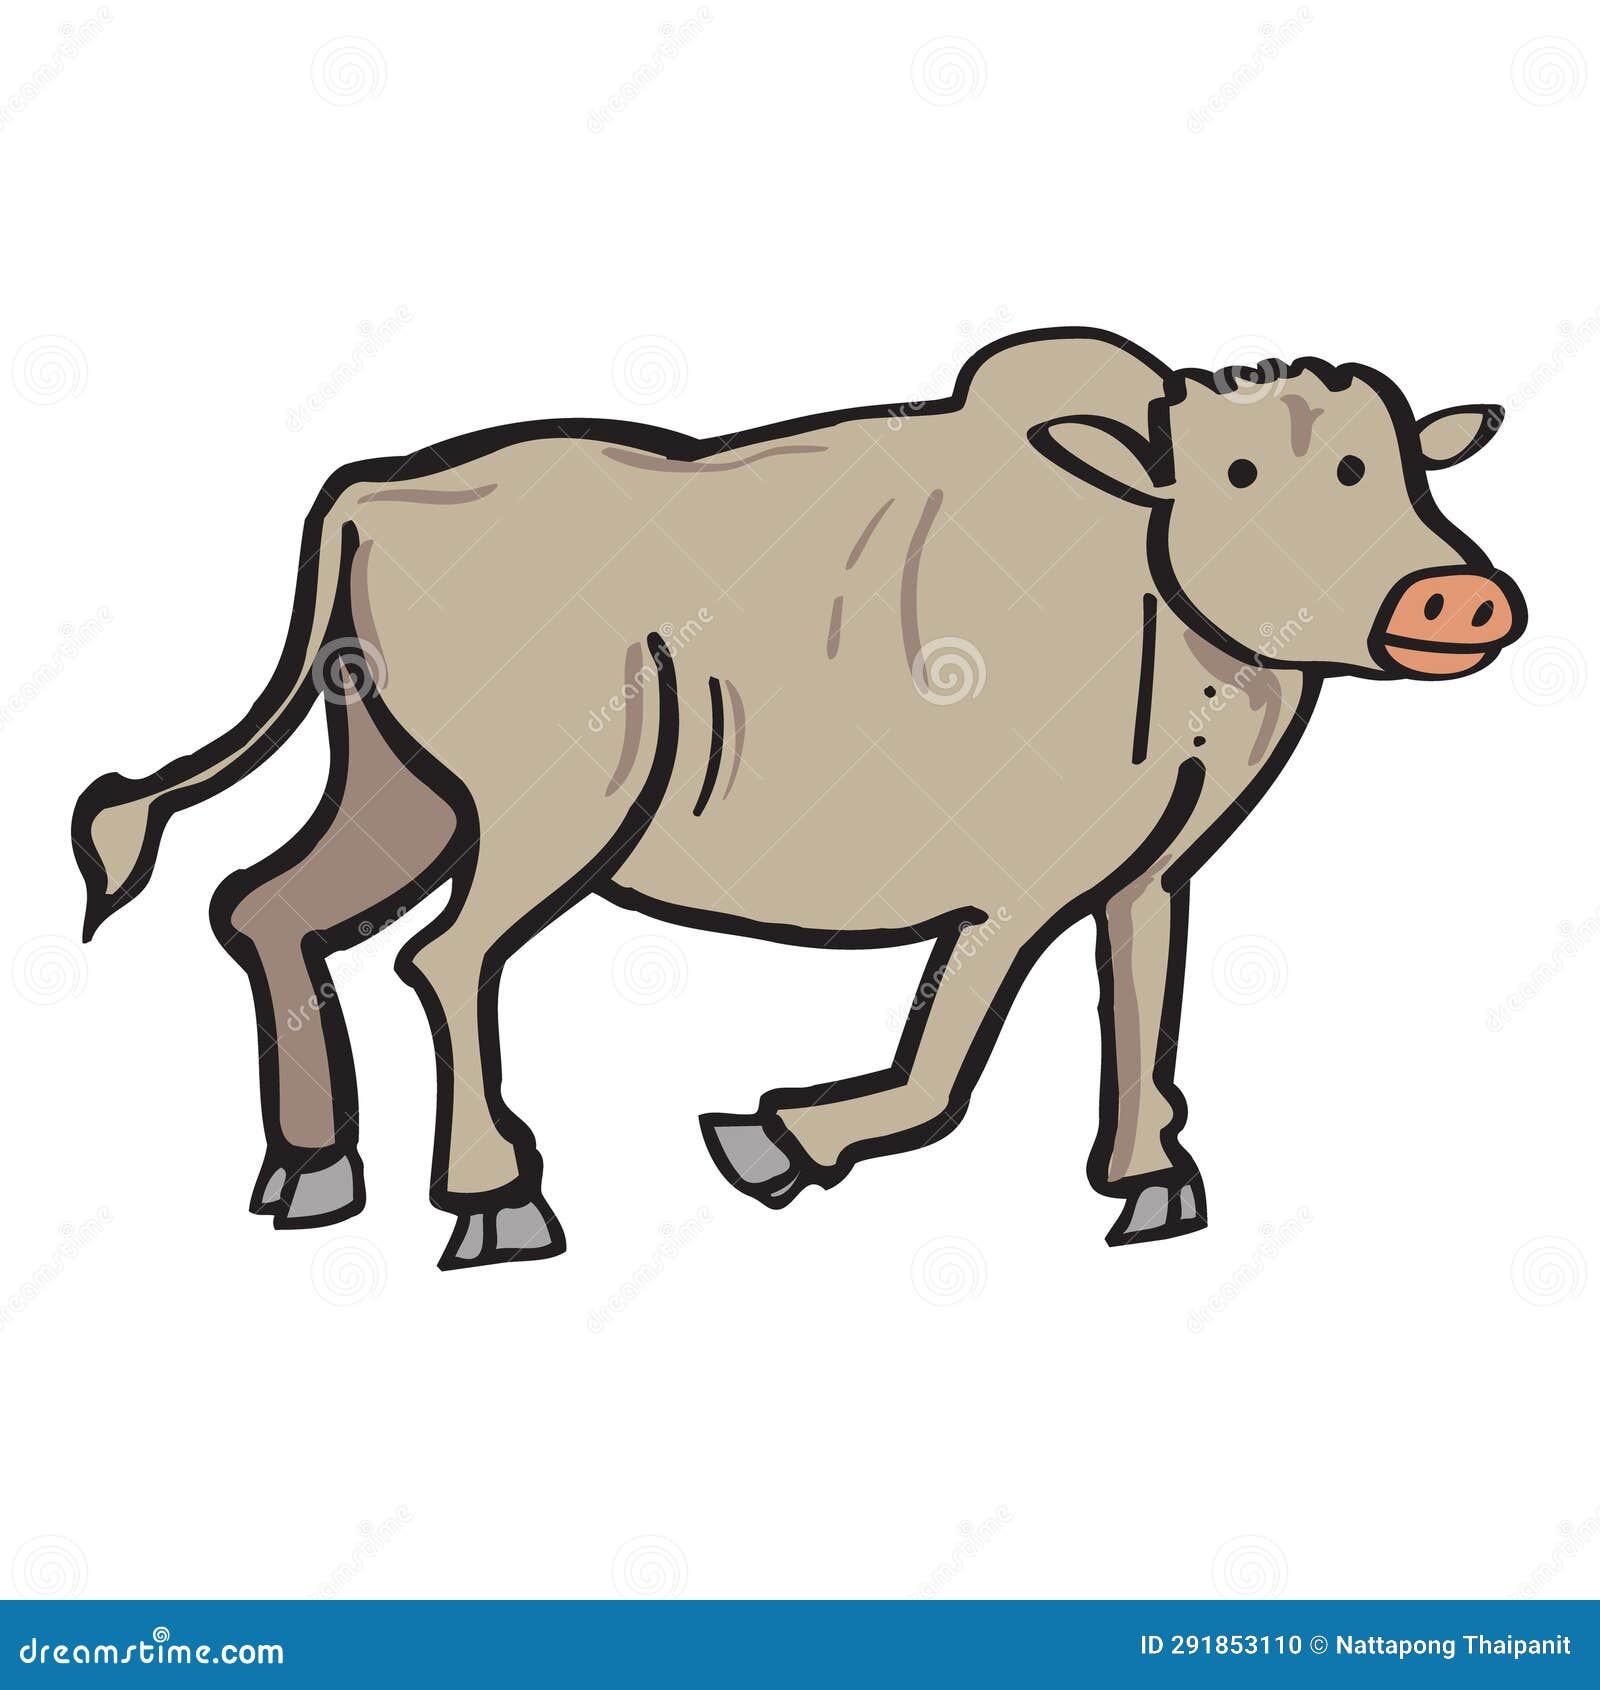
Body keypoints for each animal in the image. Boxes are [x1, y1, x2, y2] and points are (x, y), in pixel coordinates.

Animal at [72, 328, 1526, 1269]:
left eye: (1402, 466)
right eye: (1237, 475)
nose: (1457, 595)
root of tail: (370, 489)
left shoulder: (1146, 874)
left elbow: (1140, 1019)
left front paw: (1151, 1181)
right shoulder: (1009, 890)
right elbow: (940, 1073)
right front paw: (770, 1137)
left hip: (404, 786)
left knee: (268, 906)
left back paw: (314, 1169)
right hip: (548, 804)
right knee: (445, 952)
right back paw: (495, 1199)